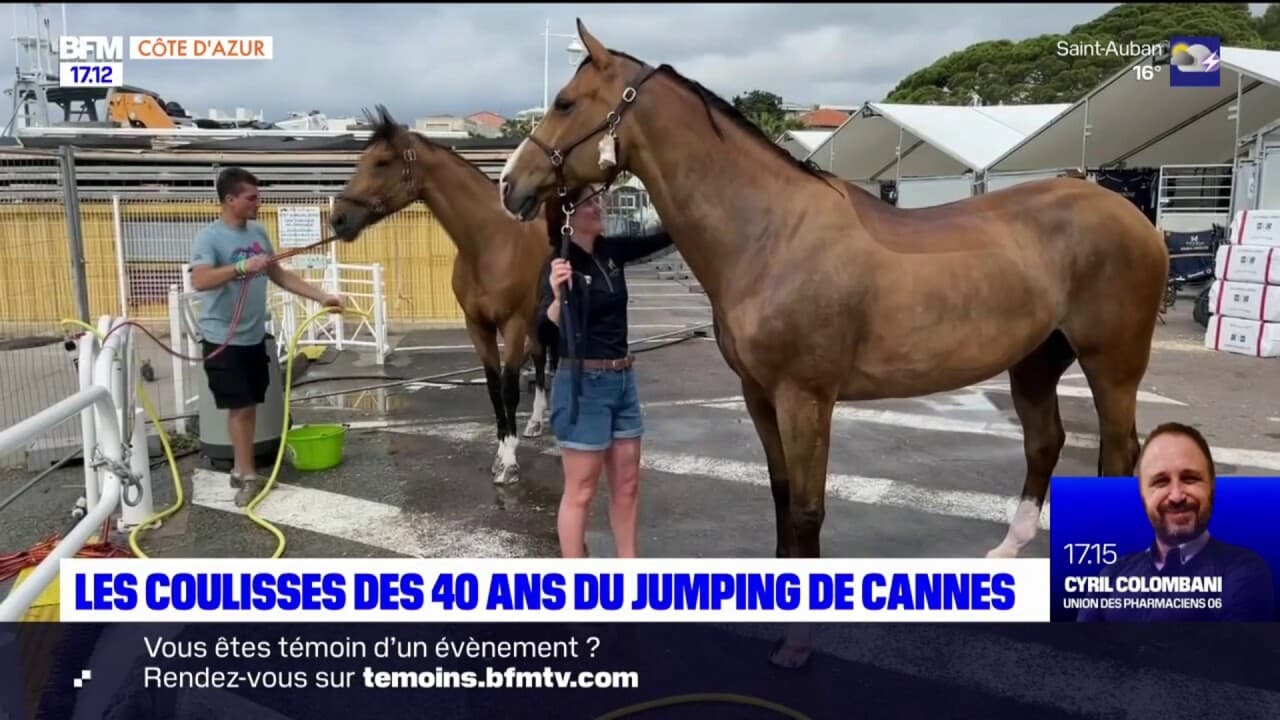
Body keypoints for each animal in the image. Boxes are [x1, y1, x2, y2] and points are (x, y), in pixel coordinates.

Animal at [330, 106, 556, 485]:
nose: (339, 219)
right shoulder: (477, 326)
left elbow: (509, 389)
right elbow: (494, 389)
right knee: (540, 357)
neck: (488, 243)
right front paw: (500, 455)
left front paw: (509, 463)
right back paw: (538, 421)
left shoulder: (512, 324)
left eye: (383, 162)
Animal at [498, 21, 1169, 665]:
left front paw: (797, 642)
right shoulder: (759, 396)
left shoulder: (806, 398)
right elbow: (780, 494)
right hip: (1035, 361)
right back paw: (1007, 555)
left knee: (1118, 455)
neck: (771, 234)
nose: (509, 185)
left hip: (1112, 365)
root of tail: (1131, 214)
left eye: (565, 102)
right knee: (1044, 444)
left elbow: (806, 507)